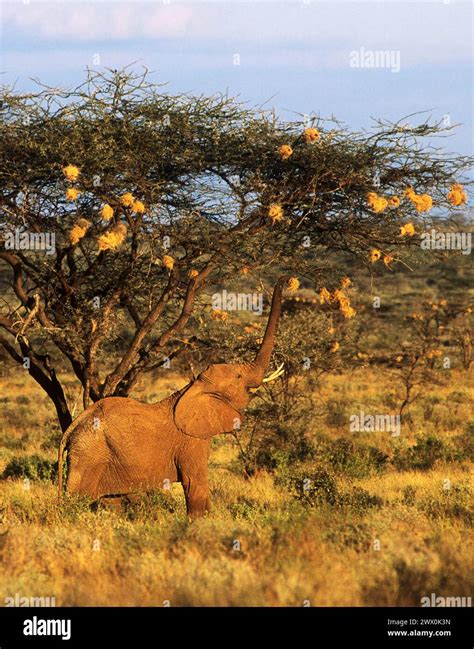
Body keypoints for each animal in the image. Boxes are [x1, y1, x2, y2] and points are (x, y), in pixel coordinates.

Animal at [57, 276, 288, 517]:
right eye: (239, 376)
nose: (285, 279)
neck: (193, 387)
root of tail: (73, 427)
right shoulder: (190, 442)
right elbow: (195, 484)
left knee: (112, 500)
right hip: (88, 454)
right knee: (76, 500)